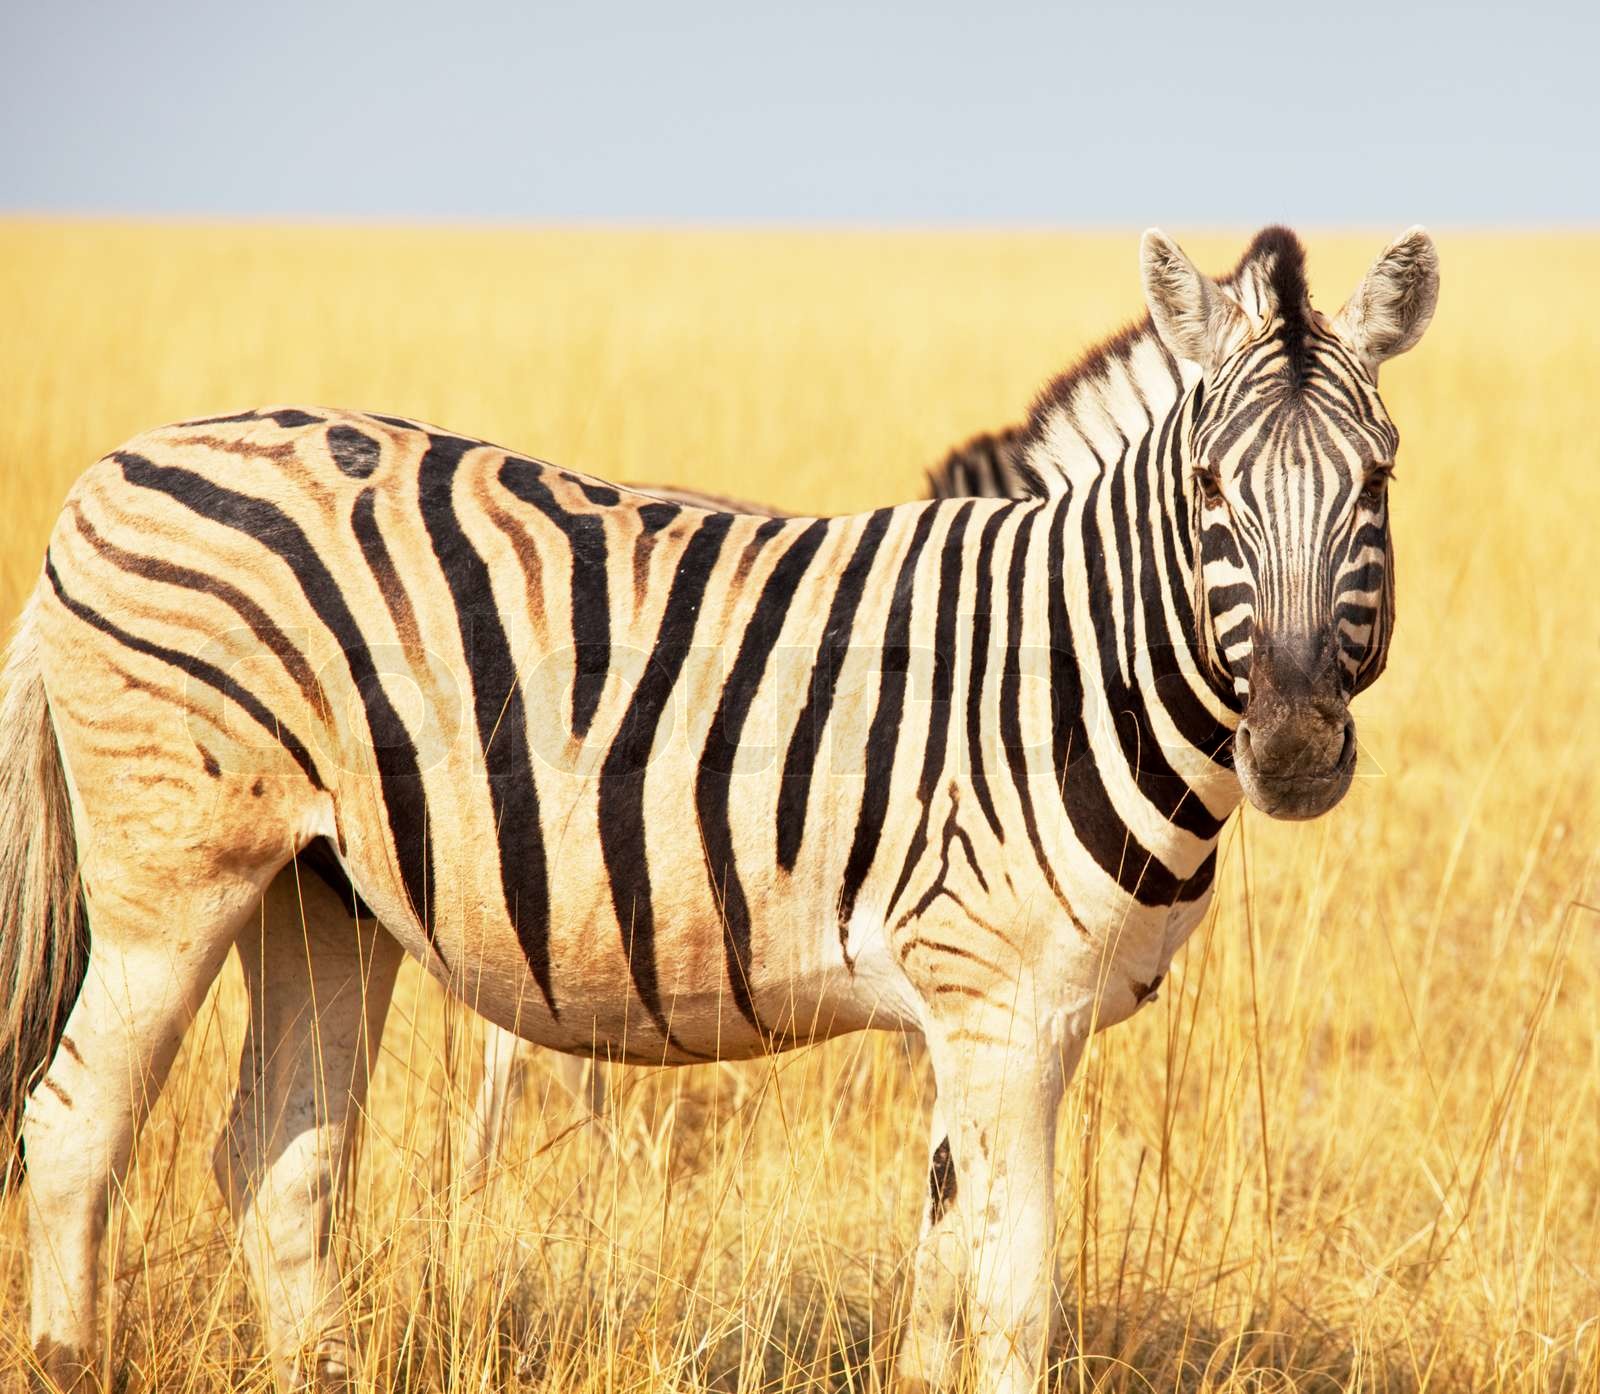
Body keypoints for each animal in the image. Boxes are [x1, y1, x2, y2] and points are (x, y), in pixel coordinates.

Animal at [0, 224, 1437, 1393]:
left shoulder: (980, 1017)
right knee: (72, 1129)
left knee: (279, 1163)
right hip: (174, 871)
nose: (1294, 747)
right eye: (1209, 491)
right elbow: (1013, 1305)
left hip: (320, 890)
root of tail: (109, 470)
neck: (1069, 663)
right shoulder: (1002, 1008)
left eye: (1379, 482)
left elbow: (936, 1293)